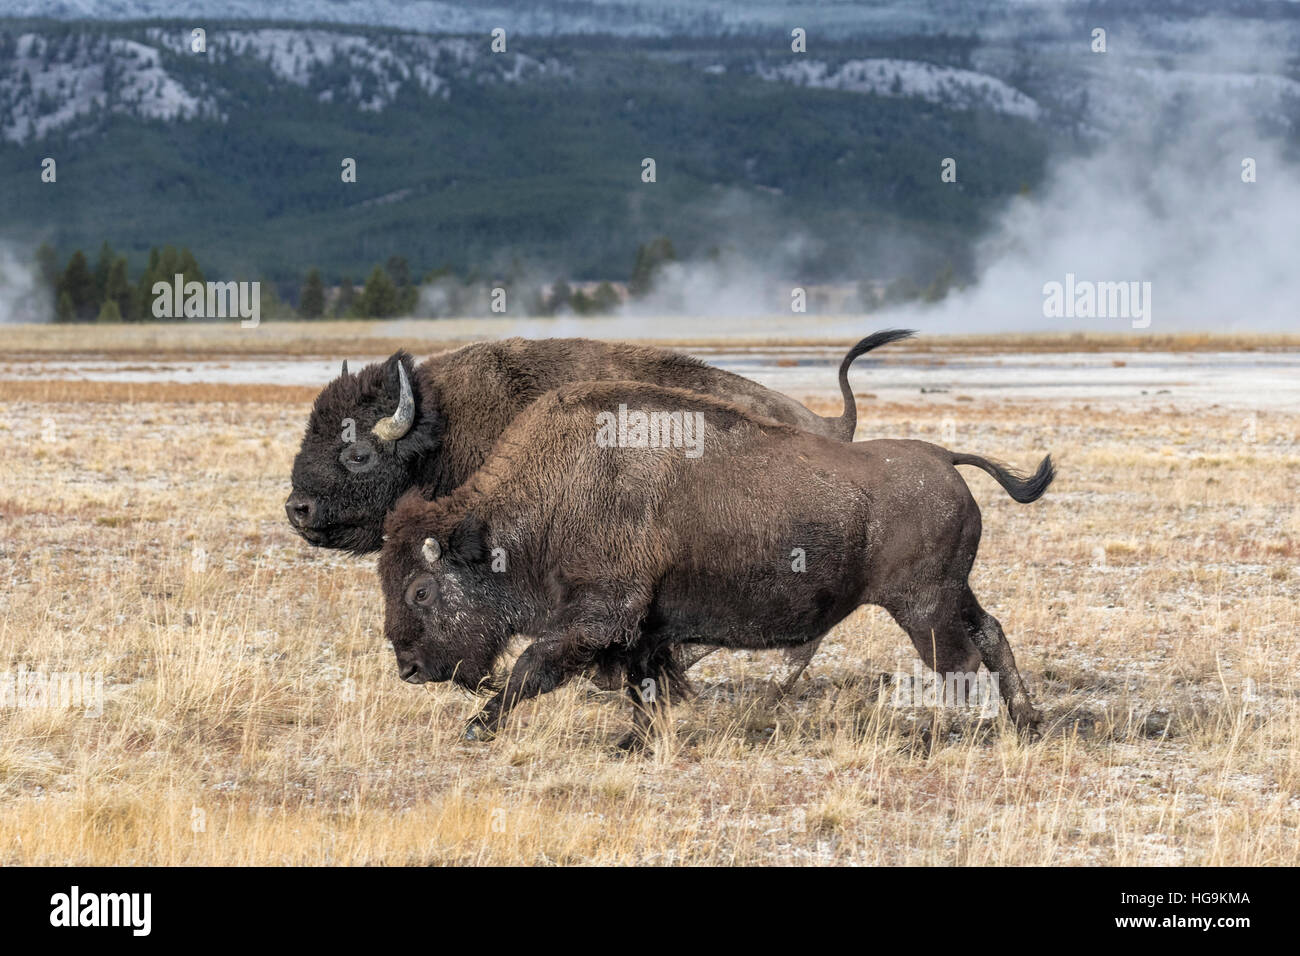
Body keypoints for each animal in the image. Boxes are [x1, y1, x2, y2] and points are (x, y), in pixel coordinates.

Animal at [378, 380, 1055, 749]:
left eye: (419, 591)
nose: (408, 668)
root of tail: (943, 457)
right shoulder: (643, 630)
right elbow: (642, 686)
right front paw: (633, 742)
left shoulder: (599, 618)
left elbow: (530, 667)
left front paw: (477, 727)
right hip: (952, 594)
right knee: (990, 634)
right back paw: (1026, 723)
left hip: (923, 606)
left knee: (959, 662)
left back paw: (958, 735)